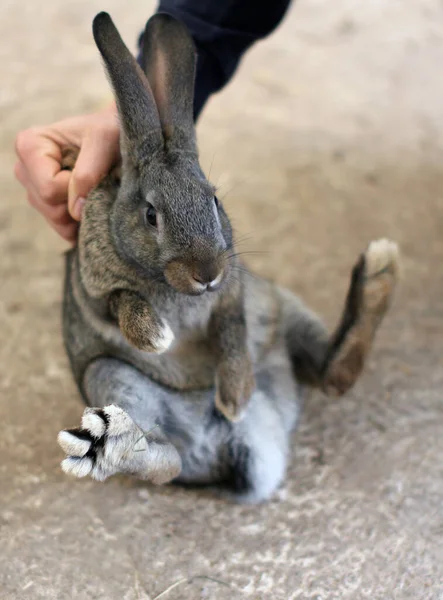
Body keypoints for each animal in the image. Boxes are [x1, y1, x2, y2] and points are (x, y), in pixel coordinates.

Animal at [57, 11, 400, 504]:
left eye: (214, 200)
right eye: (150, 215)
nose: (207, 273)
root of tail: (234, 446)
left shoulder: (232, 291)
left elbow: (232, 330)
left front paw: (236, 395)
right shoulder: (96, 287)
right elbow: (123, 302)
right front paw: (157, 336)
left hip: (284, 314)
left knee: (334, 374)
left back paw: (379, 270)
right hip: (110, 376)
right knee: (165, 461)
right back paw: (103, 443)